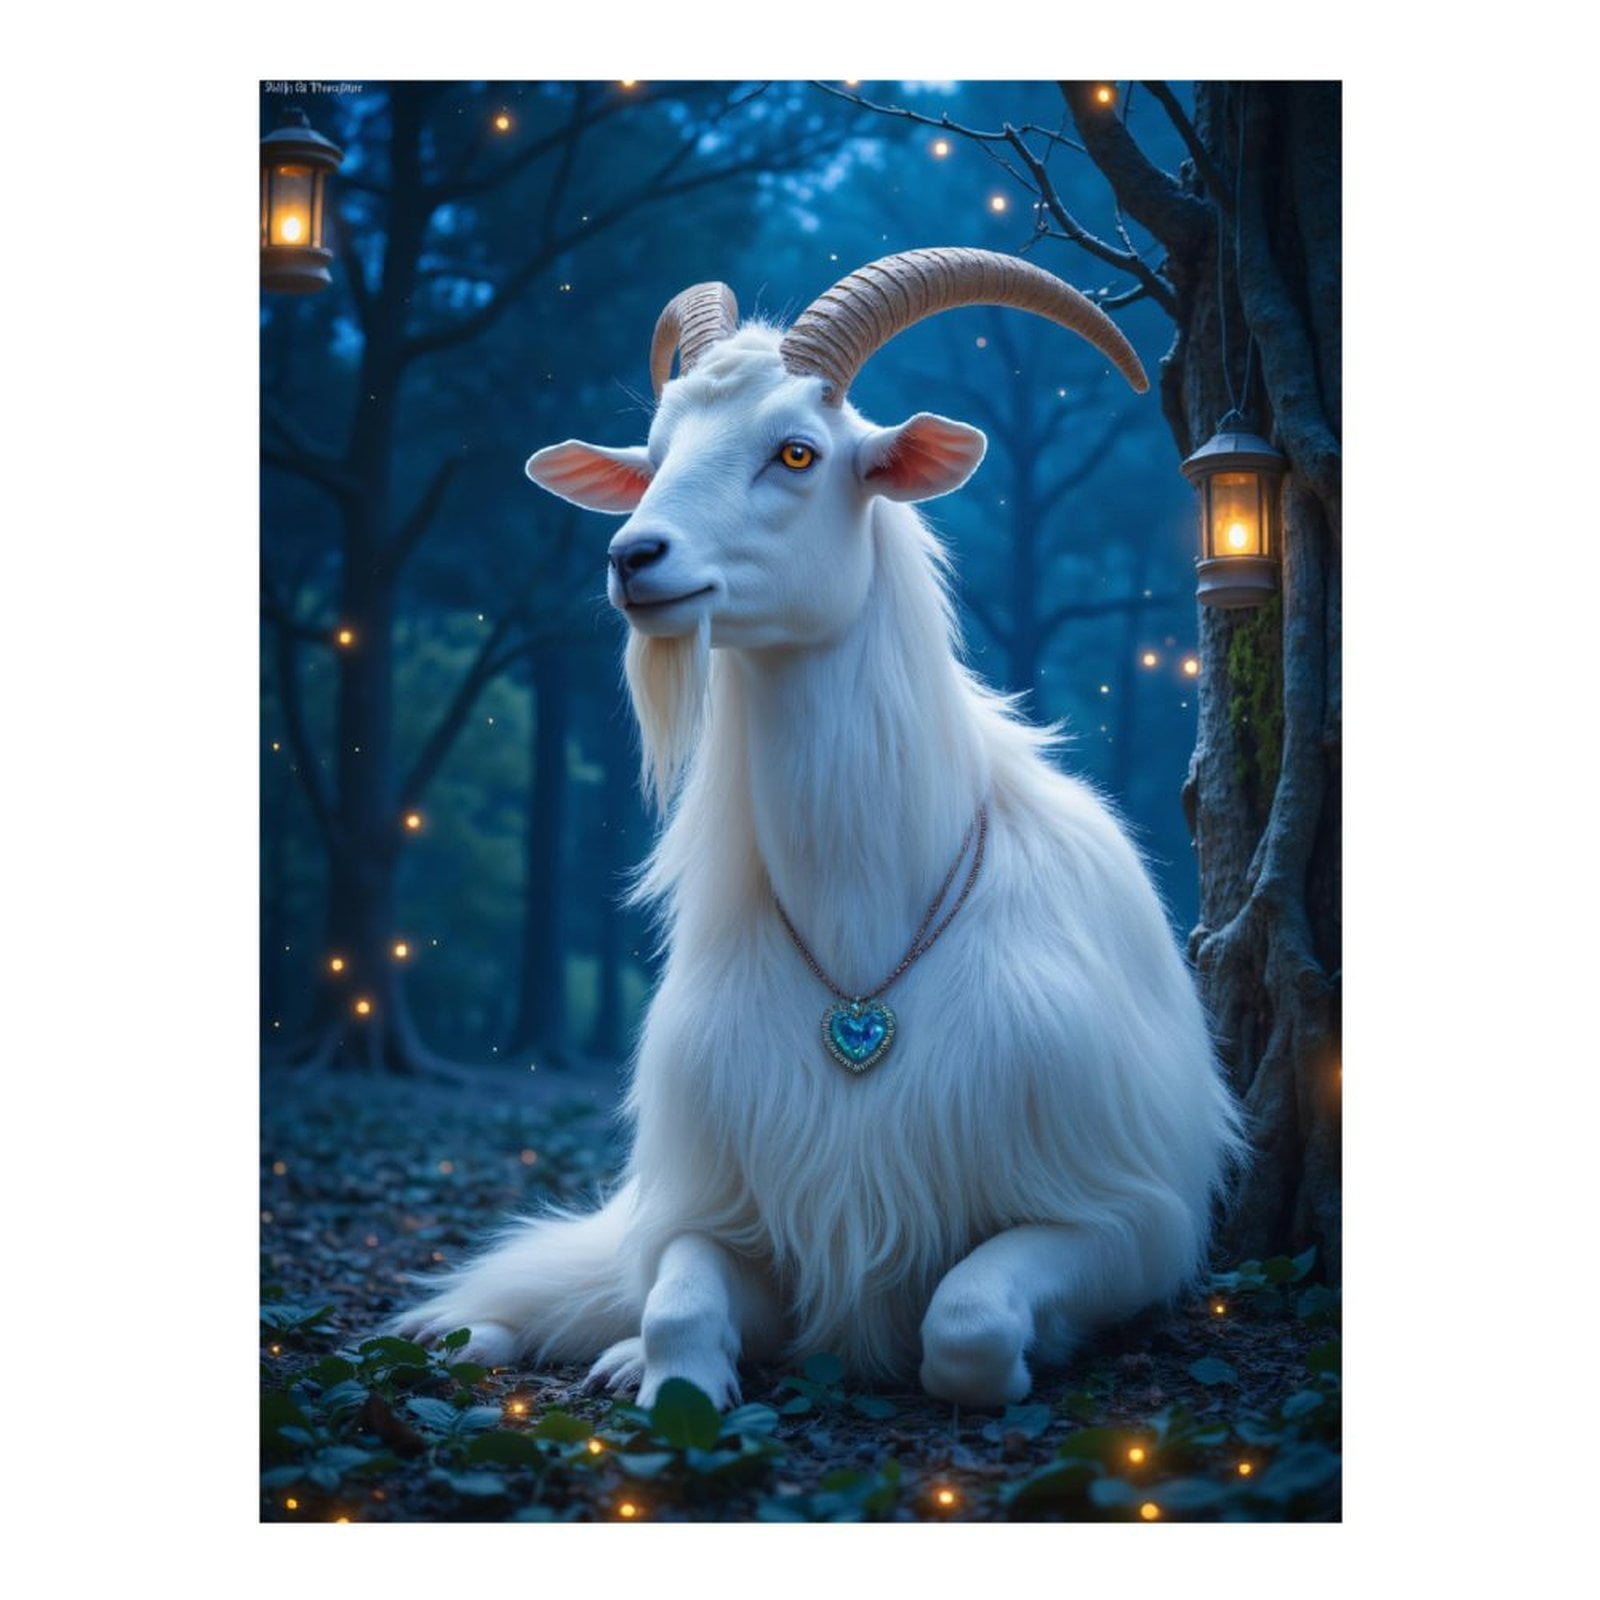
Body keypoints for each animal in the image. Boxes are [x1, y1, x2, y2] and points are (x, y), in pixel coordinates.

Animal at [391, 248, 1245, 1408]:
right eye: (653, 458)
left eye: (797, 451)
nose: (633, 557)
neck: (865, 942)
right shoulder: (730, 1205)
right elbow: (676, 1302)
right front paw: (665, 1372)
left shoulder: (1126, 1217)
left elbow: (967, 1324)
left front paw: (1032, 1353)